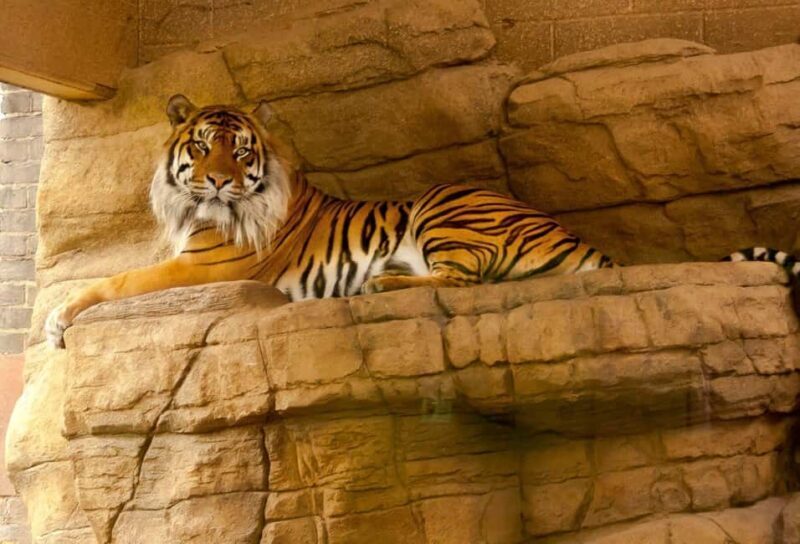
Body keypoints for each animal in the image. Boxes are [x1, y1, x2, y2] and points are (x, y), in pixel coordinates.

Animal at [44, 95, 799, 348]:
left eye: (242, 149)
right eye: (202, 146)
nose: (222, 180)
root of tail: (575, 235)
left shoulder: (203, 264)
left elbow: (113, 282)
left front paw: (55, 320)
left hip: (444, 202)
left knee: (462, 282)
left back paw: (380, 285)